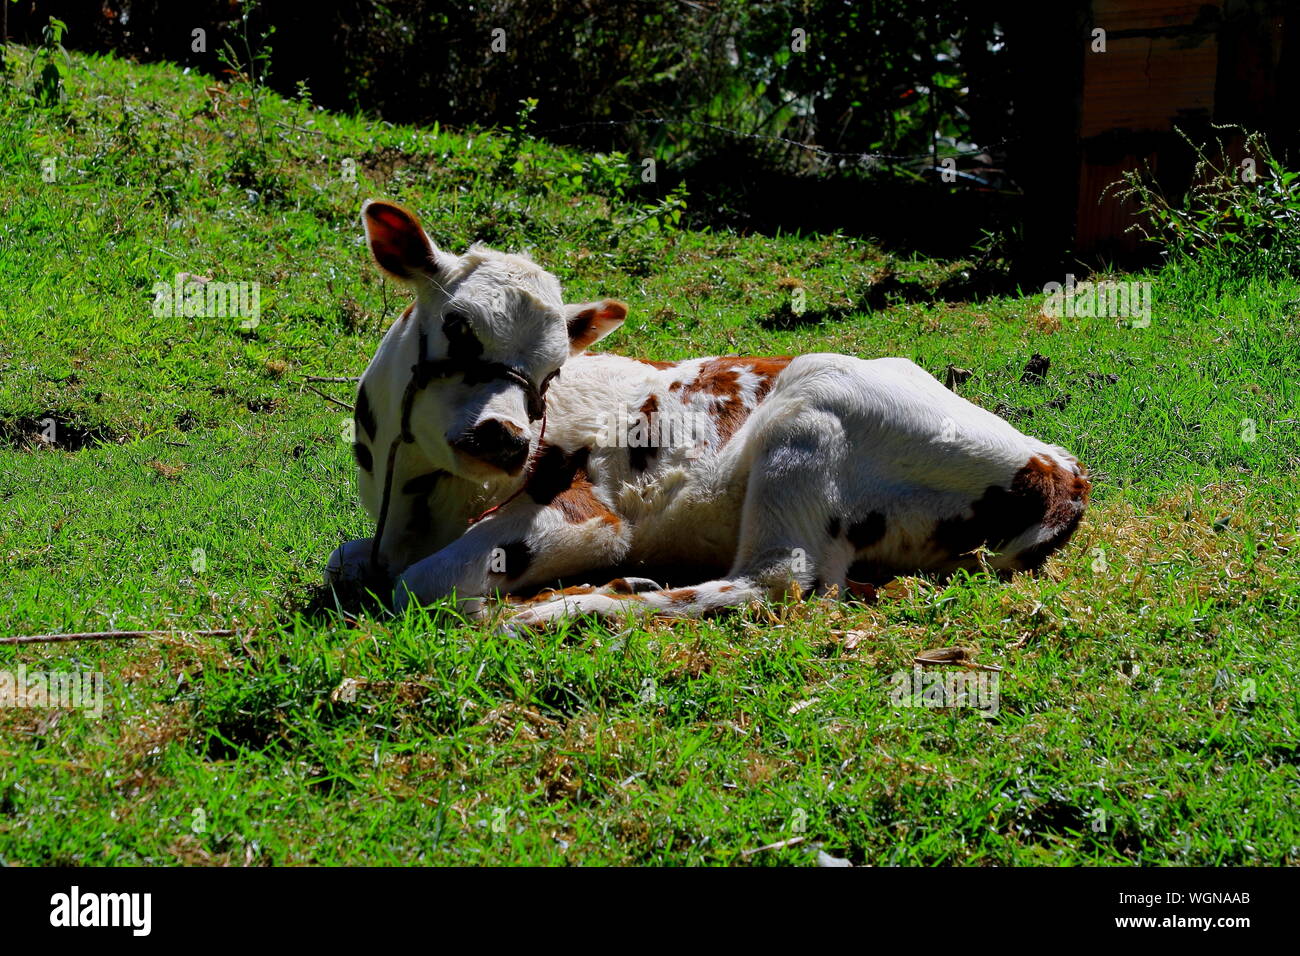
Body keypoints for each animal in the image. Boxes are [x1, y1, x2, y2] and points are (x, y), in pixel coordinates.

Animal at [325, 200, 1090, 627]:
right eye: (457, 326)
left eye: (553, 369)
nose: (507, 438)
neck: (419, 500)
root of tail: (1056, 464)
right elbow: (346, 562)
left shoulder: (584, 511)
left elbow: (421, 585)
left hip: (808, 416)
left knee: (773, 581)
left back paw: (570, 605)